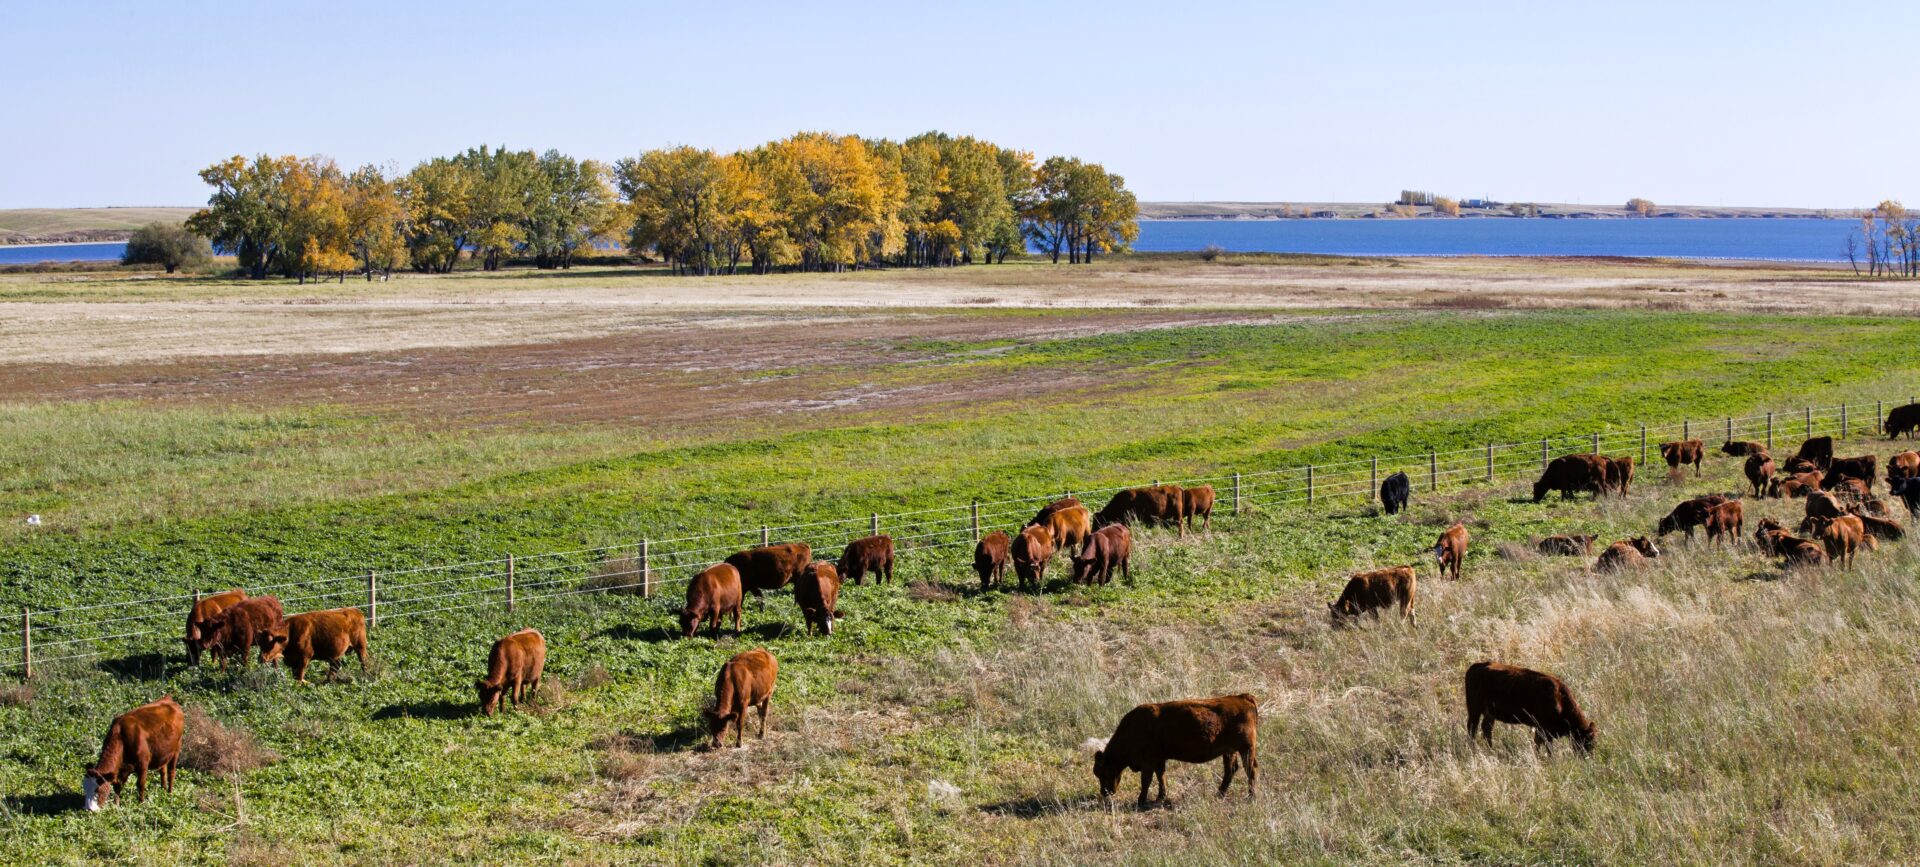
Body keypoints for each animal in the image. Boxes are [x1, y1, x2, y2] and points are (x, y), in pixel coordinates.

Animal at [1092, 694, 1259, 808]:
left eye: (1104, 771)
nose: (1105, 792)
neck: (1134, 728)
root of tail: (1242, 697)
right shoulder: (1159, 760)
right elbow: (1161, 776)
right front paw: (1161, 797)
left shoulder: (1148, 762)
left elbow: (1146, 780)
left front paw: (1141, 800)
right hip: (1230, 751)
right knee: (1231, 770)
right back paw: (1219, 795)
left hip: (1246, 749)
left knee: (1250, 770)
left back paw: (1251, 797)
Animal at [1464, 662, 1595, 754]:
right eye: (1588, 740)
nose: (1588, 757)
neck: (1560, 699)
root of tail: (1475, 667)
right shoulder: (1543, 729)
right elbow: (1545, 746)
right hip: (1474, 710)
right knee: (1473, 728)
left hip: (1489, 713)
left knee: (1486, 729)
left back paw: (1491, 749)